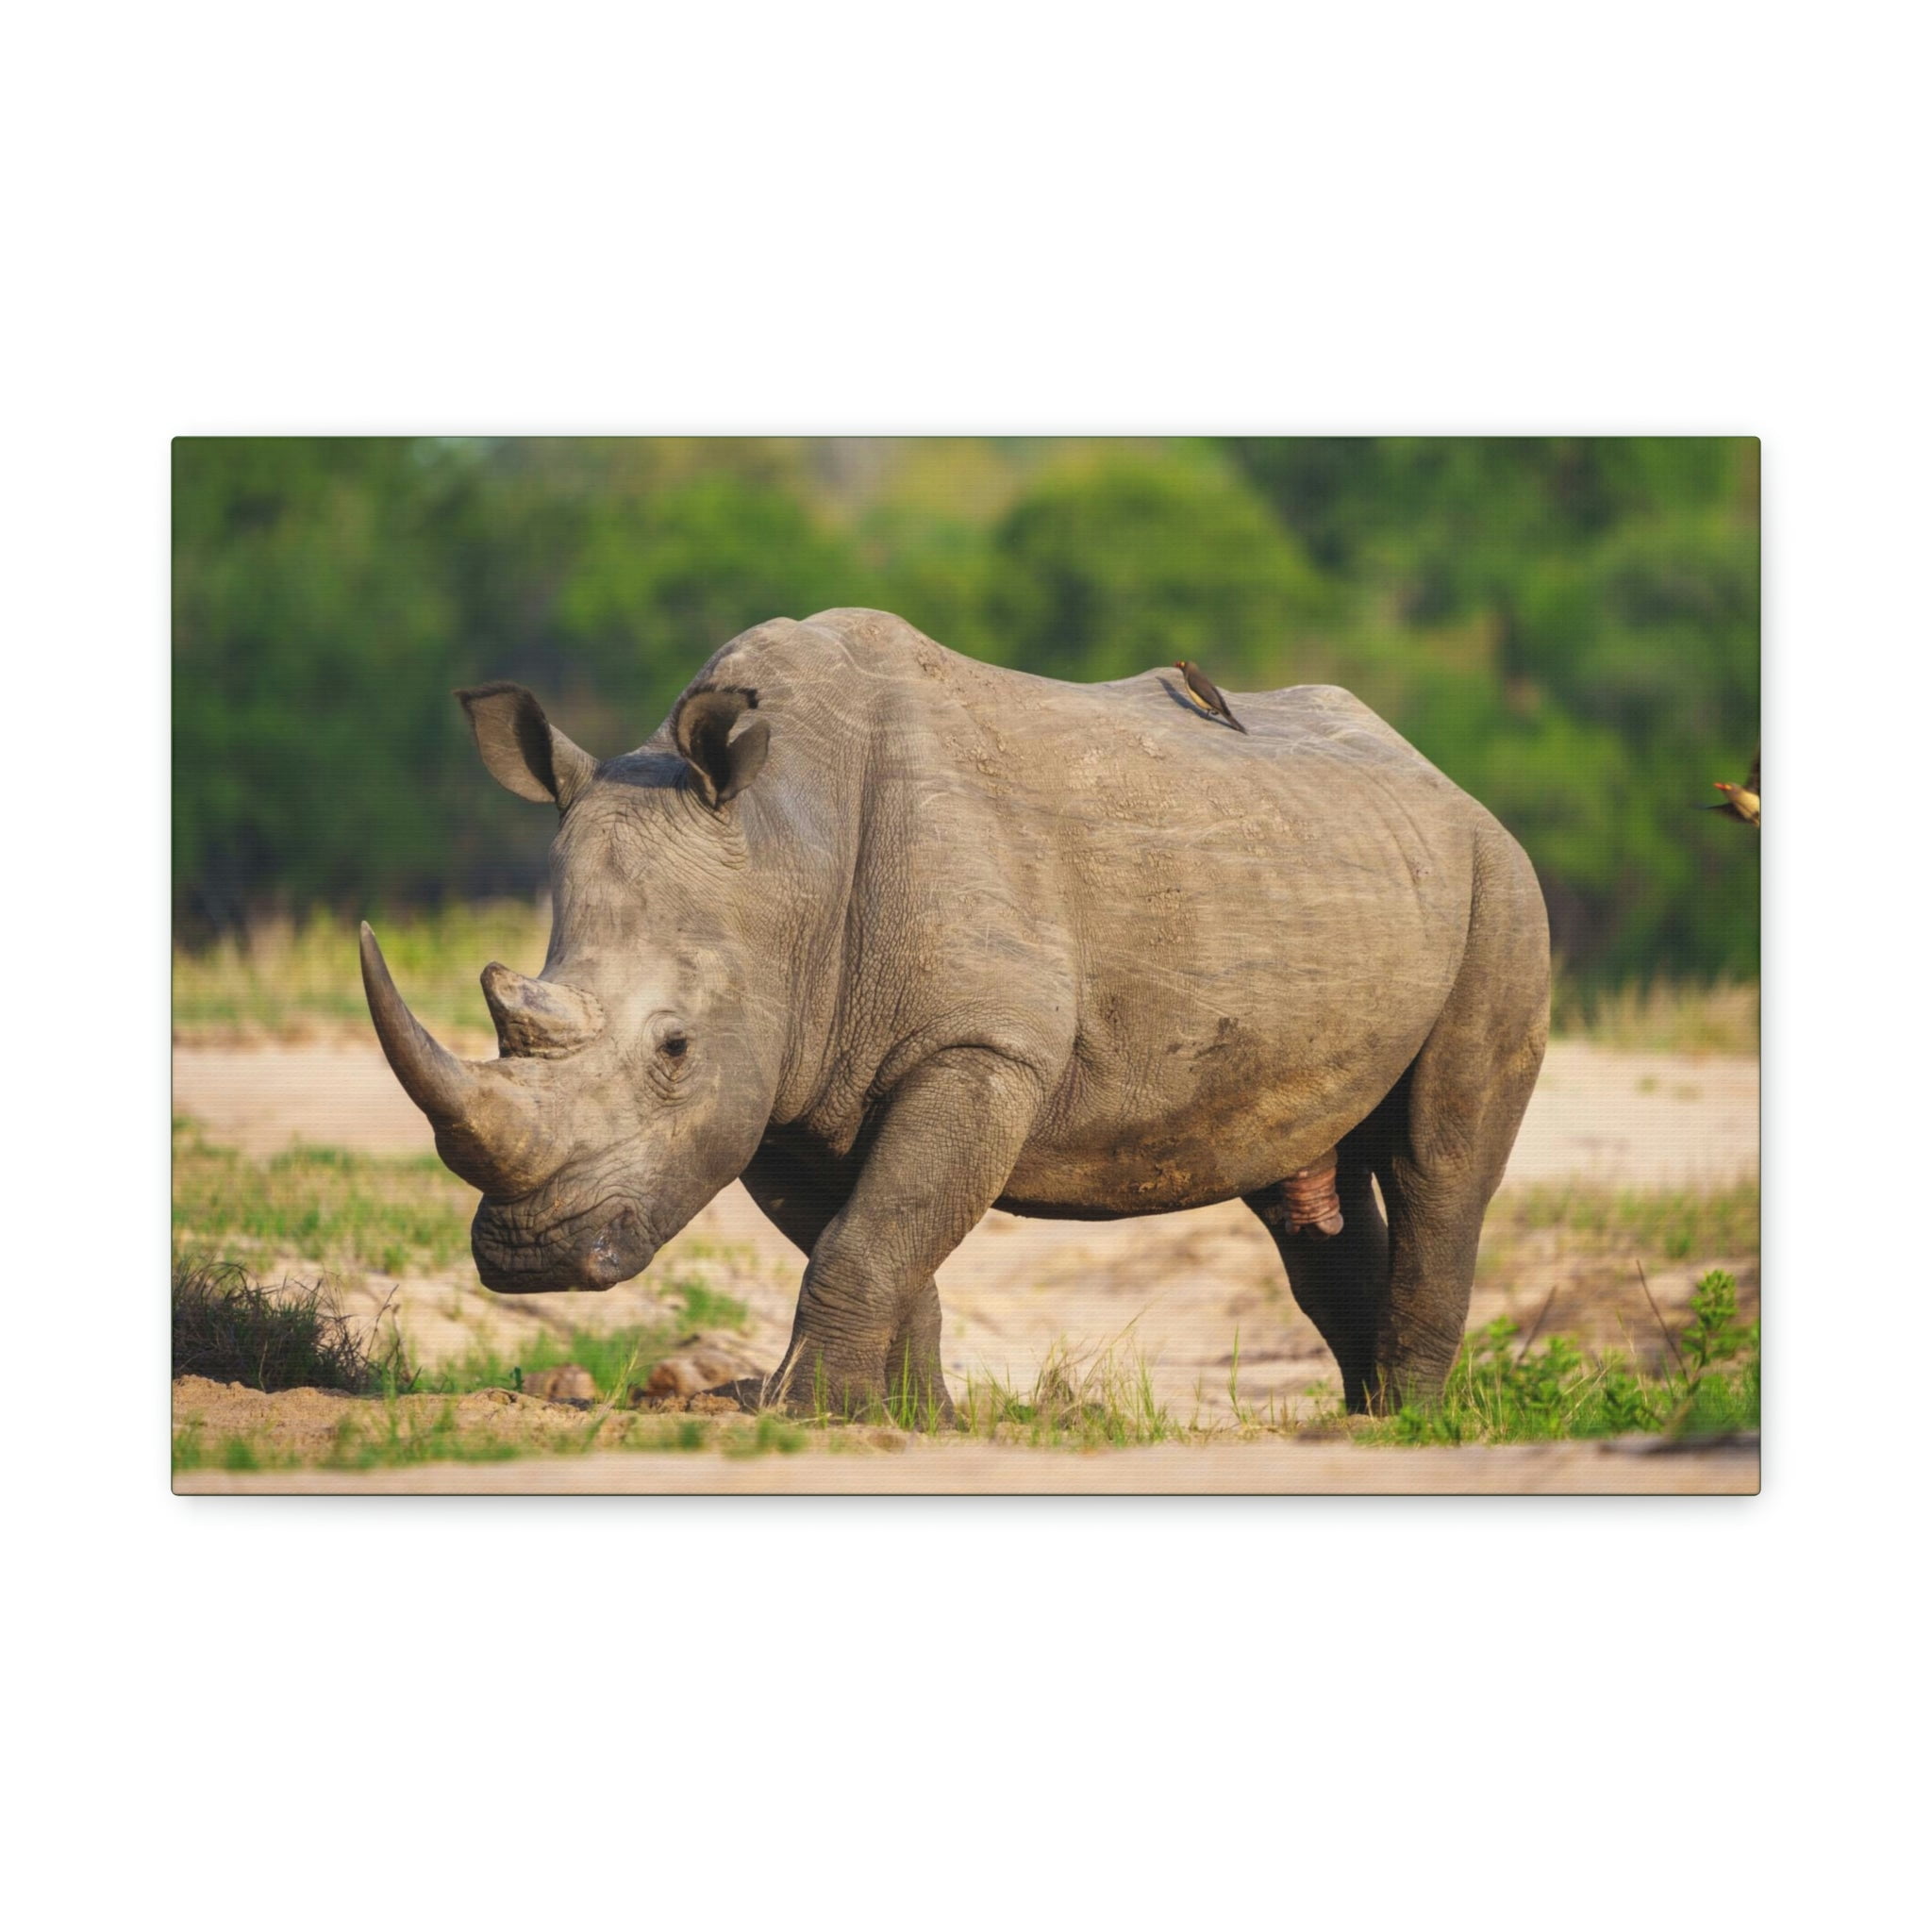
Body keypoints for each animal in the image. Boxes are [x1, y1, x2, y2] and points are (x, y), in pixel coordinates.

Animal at [361, 608, 1549, 1419]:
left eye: (673, 1047)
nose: (532, 1256)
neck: (784, 844)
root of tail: (1437, 775)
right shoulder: (785, 1077)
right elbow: (876, 1236)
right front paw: (896, 1418)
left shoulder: (977, 1045)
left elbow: (871, 1232)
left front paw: (802, 1412)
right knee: (1302, 1192)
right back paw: (1359, 1419)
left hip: (1497, 882)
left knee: (1440, 1165)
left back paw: (1409, 1425)